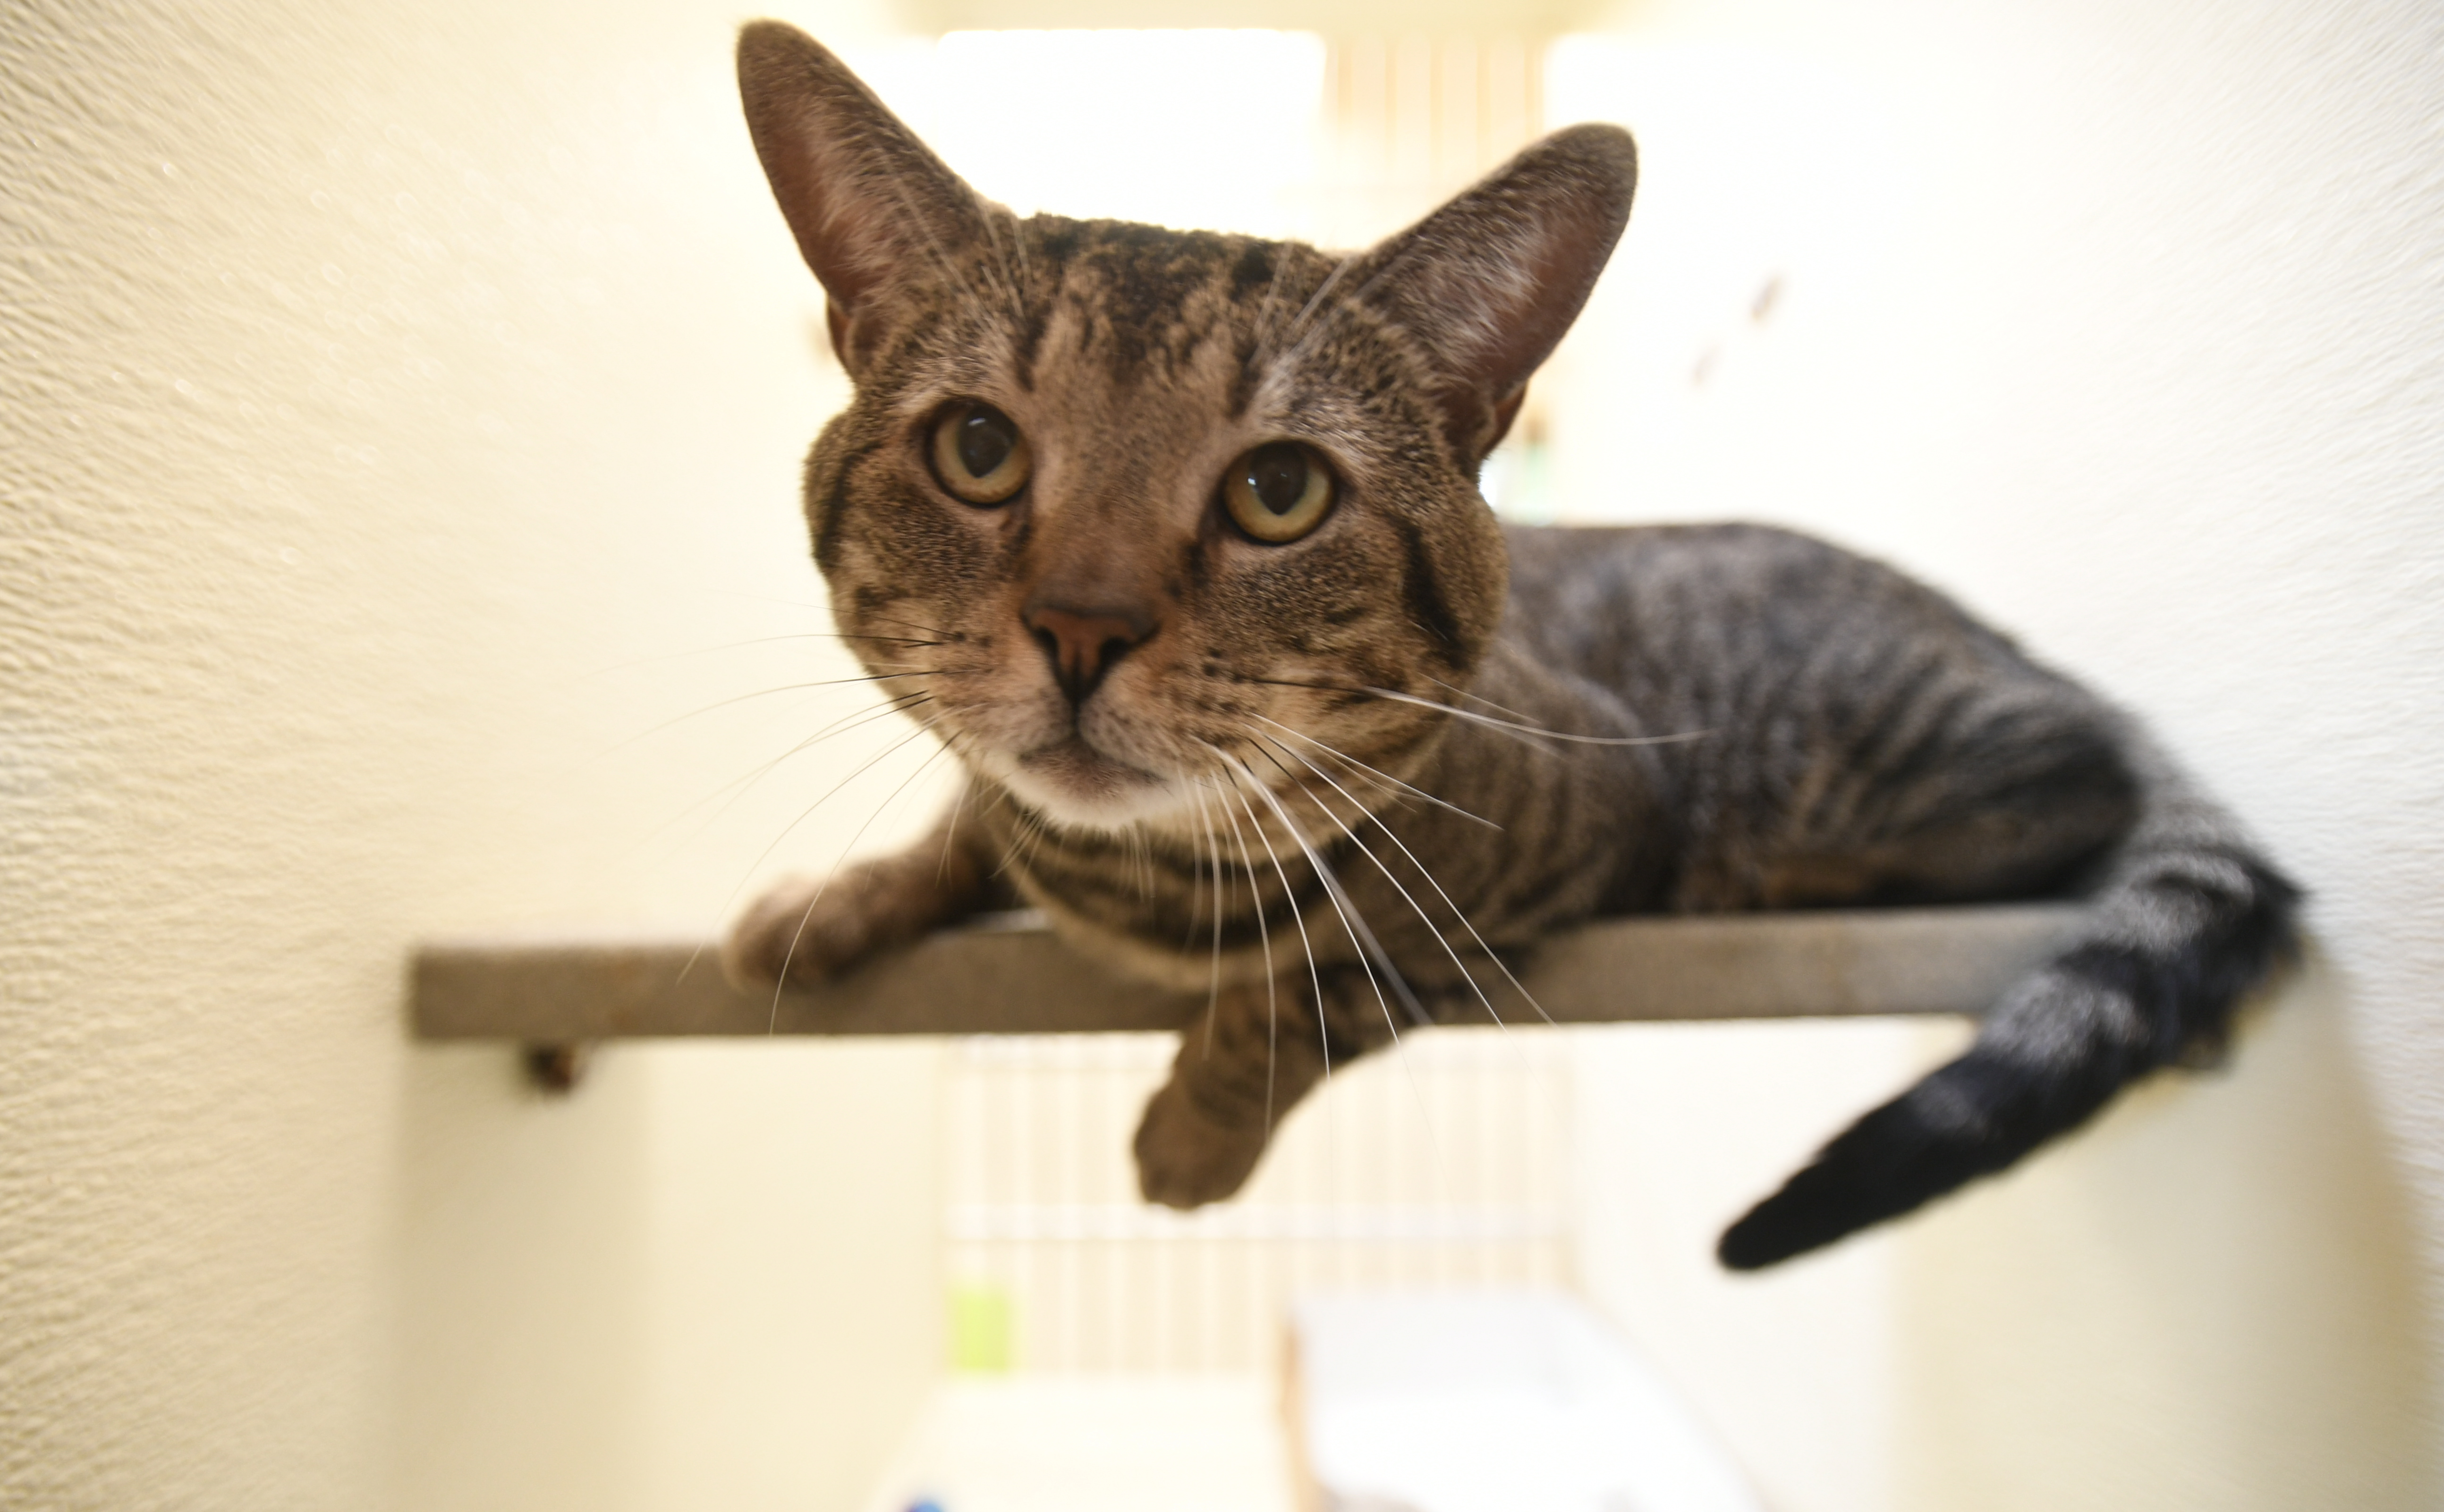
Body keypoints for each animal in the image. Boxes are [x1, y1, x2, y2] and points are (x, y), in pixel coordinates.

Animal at [718, 24, 2287, 1270]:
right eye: (977, 449)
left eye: (1277, 490)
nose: (1082, 623)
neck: (1134, 879)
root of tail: (2008, 639)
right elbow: (970, 816)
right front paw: (834, 897)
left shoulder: (1564, 825)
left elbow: (1335, 973)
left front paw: (1196, 1127)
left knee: (2079, 783)